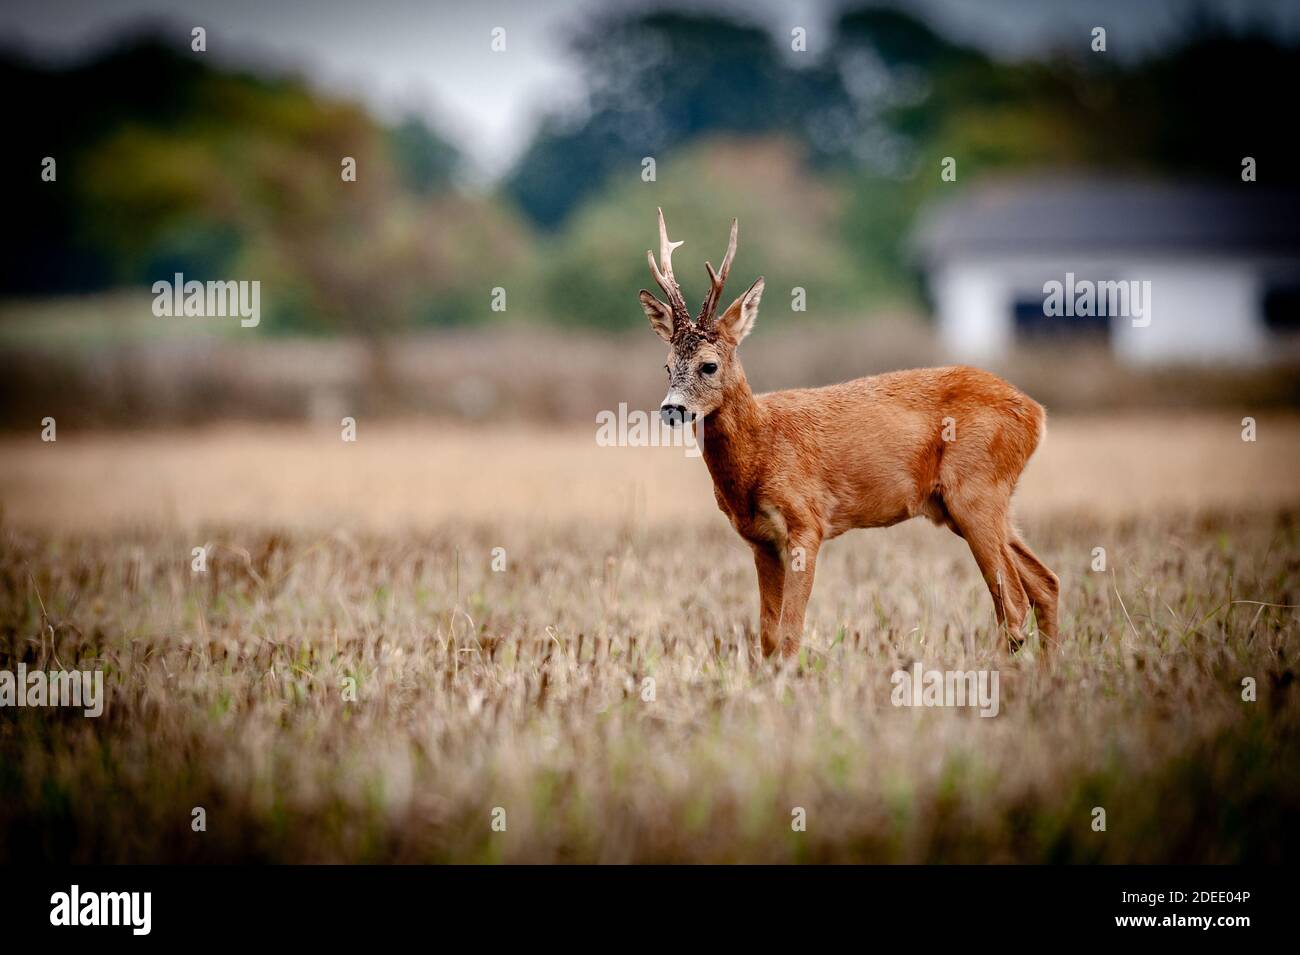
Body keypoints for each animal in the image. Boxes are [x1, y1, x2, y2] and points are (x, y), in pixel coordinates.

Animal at [638, 208, 1059, 661]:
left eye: (709, 365)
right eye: (667, 366)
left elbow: (790, 633)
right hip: (975, 502)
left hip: (976, 489)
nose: (672, 409)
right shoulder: (760, 540)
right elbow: (768, 637)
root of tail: (1036, 413)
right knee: (1045, 583)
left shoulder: (807, 521)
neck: (761, 451)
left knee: (1014, 605)